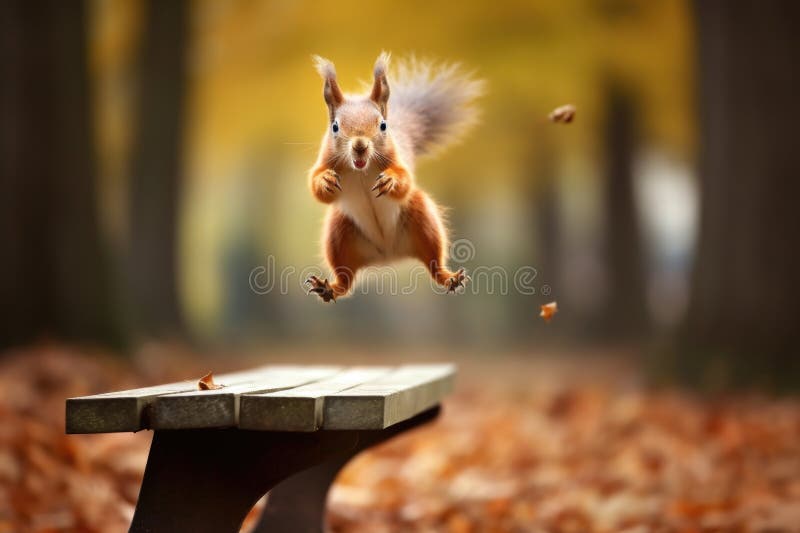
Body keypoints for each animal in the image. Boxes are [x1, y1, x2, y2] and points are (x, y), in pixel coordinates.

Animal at [305, 52, 483, 302]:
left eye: (383, 125)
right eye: (335, 127)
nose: (360, 146)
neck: (361, 169)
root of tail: (387, 255)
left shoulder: (397, 159)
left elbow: (404, 182)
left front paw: (390, 181)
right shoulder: (326, 160)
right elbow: (316, 186)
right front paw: (325, 181)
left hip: (423, 221)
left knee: (433, 262)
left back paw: (449, 278)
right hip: (338, 234)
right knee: (345, 278)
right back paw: (329, 288)